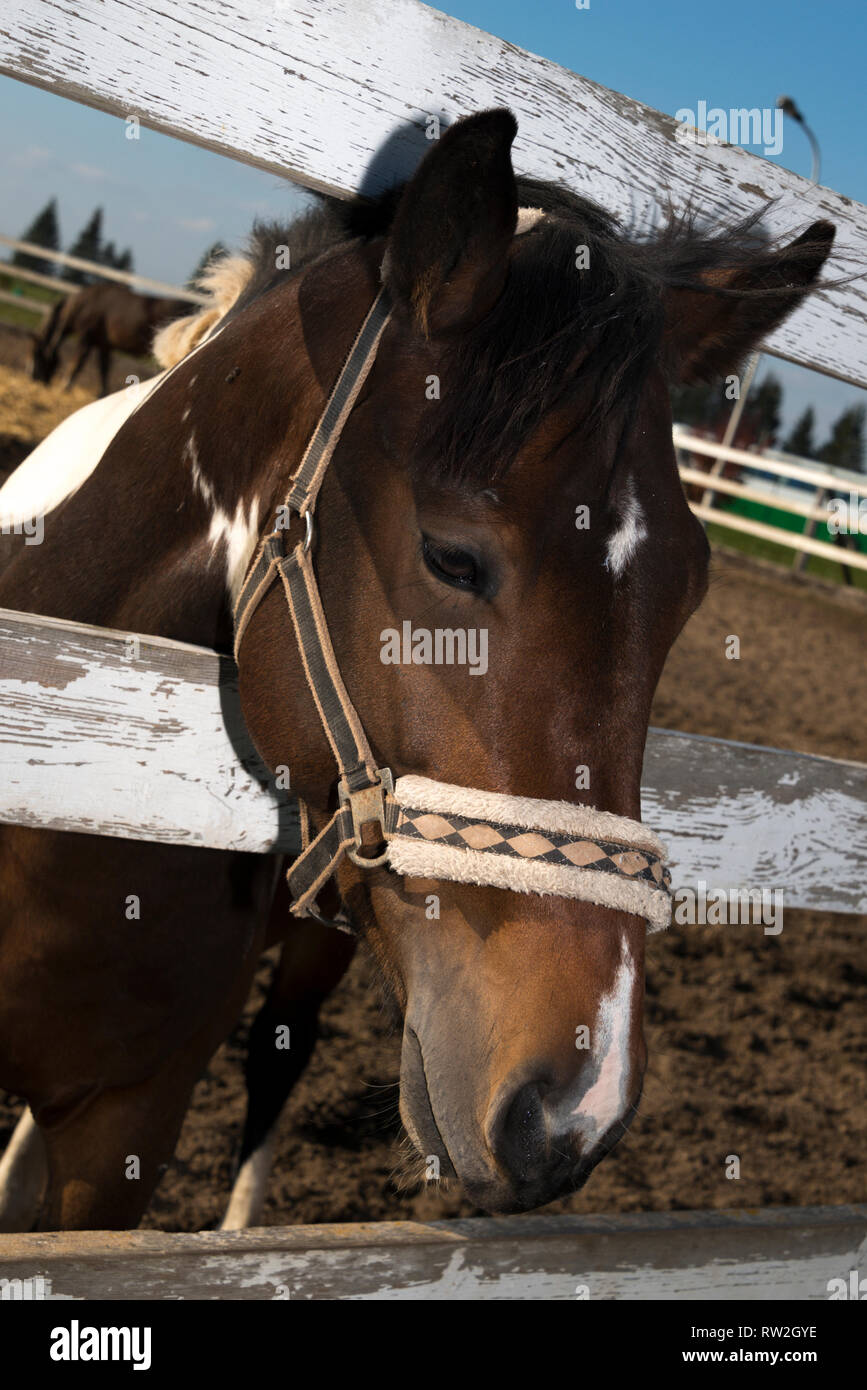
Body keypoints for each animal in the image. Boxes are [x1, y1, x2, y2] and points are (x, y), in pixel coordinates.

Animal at [29, 281, 189, 397]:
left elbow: (77, 364)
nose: (33, 377)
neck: (85, 304)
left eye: (37, 355)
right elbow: (104, 370)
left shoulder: (86, 339)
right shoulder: (104, 346)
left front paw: (65, 386)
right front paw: (102, 393)